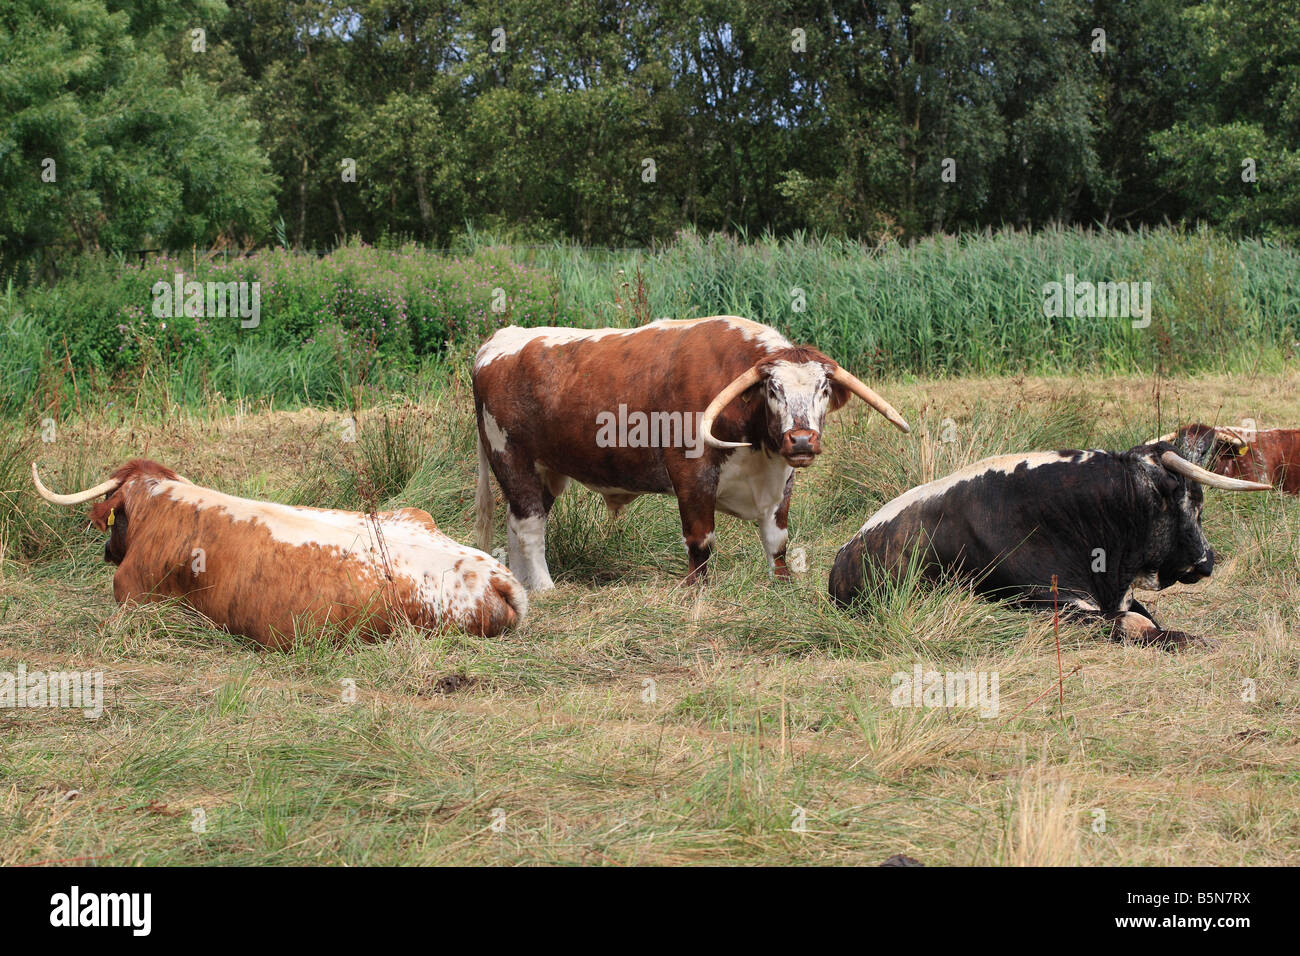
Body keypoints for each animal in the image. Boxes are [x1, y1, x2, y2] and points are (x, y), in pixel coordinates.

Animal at [471, 316, 910, 590]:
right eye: (773, 390)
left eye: (823, 389)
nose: (801, 441)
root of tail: (499, 340)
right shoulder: (692, 475)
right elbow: (701, 542)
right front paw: (697, 593)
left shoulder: (780, 481)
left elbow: (777, 542)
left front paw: (782, 588)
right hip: (511, 458)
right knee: (530, 528)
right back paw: (546, 588)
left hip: (544, 470)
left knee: (517, 524)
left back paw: (521, 584)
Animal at [828, 442, 1271, 649]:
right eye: (1193, 501)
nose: (1208, 561)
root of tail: (842, 557)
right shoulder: (1052, 606)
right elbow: (1139, 625)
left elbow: (1146, 617)